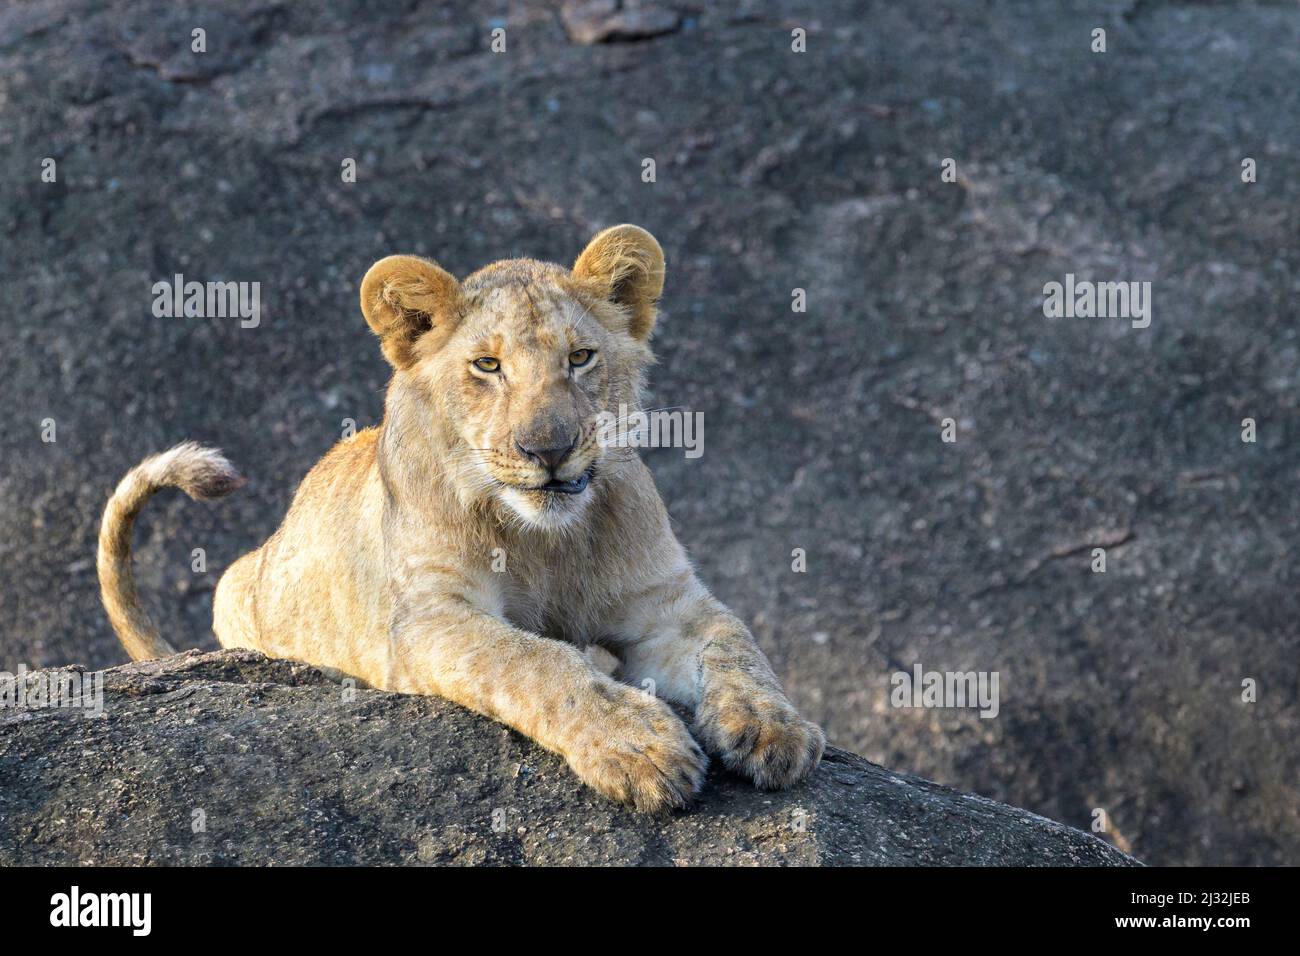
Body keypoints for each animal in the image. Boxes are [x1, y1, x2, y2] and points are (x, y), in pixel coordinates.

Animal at [97, 225, 825, 811]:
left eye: (580, 357)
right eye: (488, 365)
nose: (548, 449)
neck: (547, 541)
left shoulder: (667, 601)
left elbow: (733, 643)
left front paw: (775, 726)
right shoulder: (429, 617)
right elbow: (534, 661)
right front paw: (639, 746)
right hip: (234, 588)